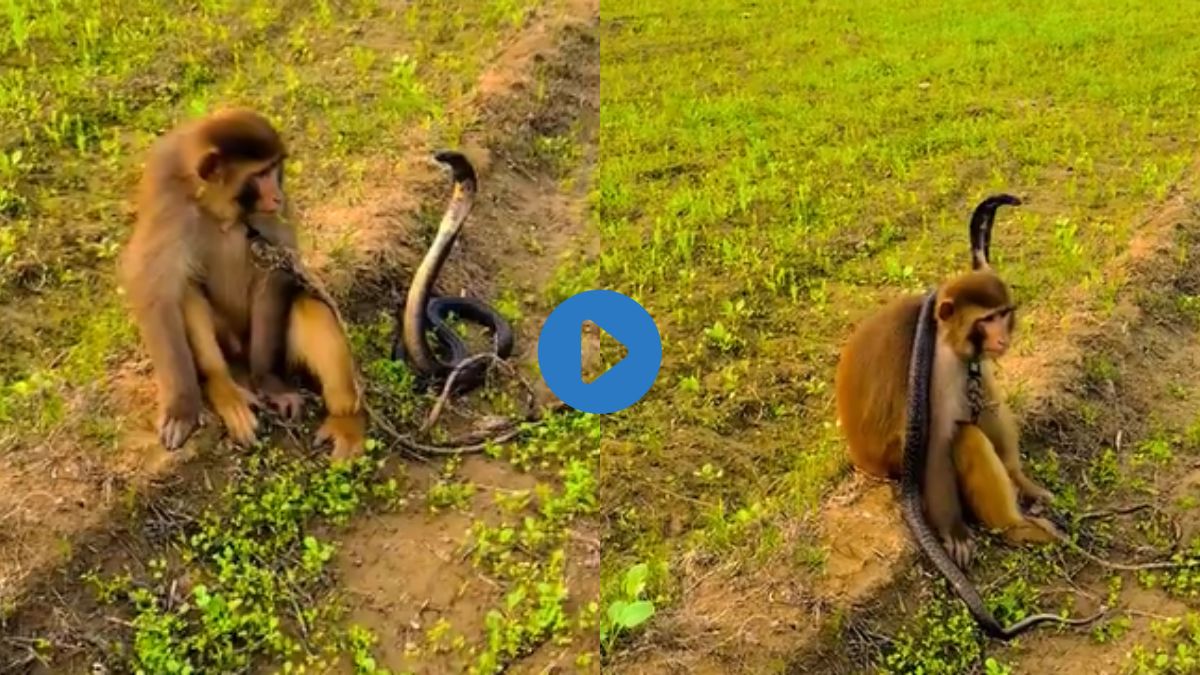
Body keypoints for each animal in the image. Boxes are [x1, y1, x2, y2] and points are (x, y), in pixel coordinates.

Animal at [118, 107, 364, 459]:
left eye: (275, 169)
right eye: (260, 173)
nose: (277, 195)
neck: (219, 207)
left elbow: (276, 271)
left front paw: (270, 383)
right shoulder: (166, 195)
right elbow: (156, 290)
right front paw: (182, 406)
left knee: (311, 306)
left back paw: (346, 419)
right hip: (229, 345)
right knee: (188, 291)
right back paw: (225, 389)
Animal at [835, 195, 1106, 639]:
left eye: (1004, 314)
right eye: (986, 319)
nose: (1001, 337)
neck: (943, 328)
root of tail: (862, 462)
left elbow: (989, 399)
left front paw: (1023, 482)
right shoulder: (937, 365)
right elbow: (937, 439)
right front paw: (955, 532)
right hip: (894, 459)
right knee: (964, 435)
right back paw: (1015, 526)